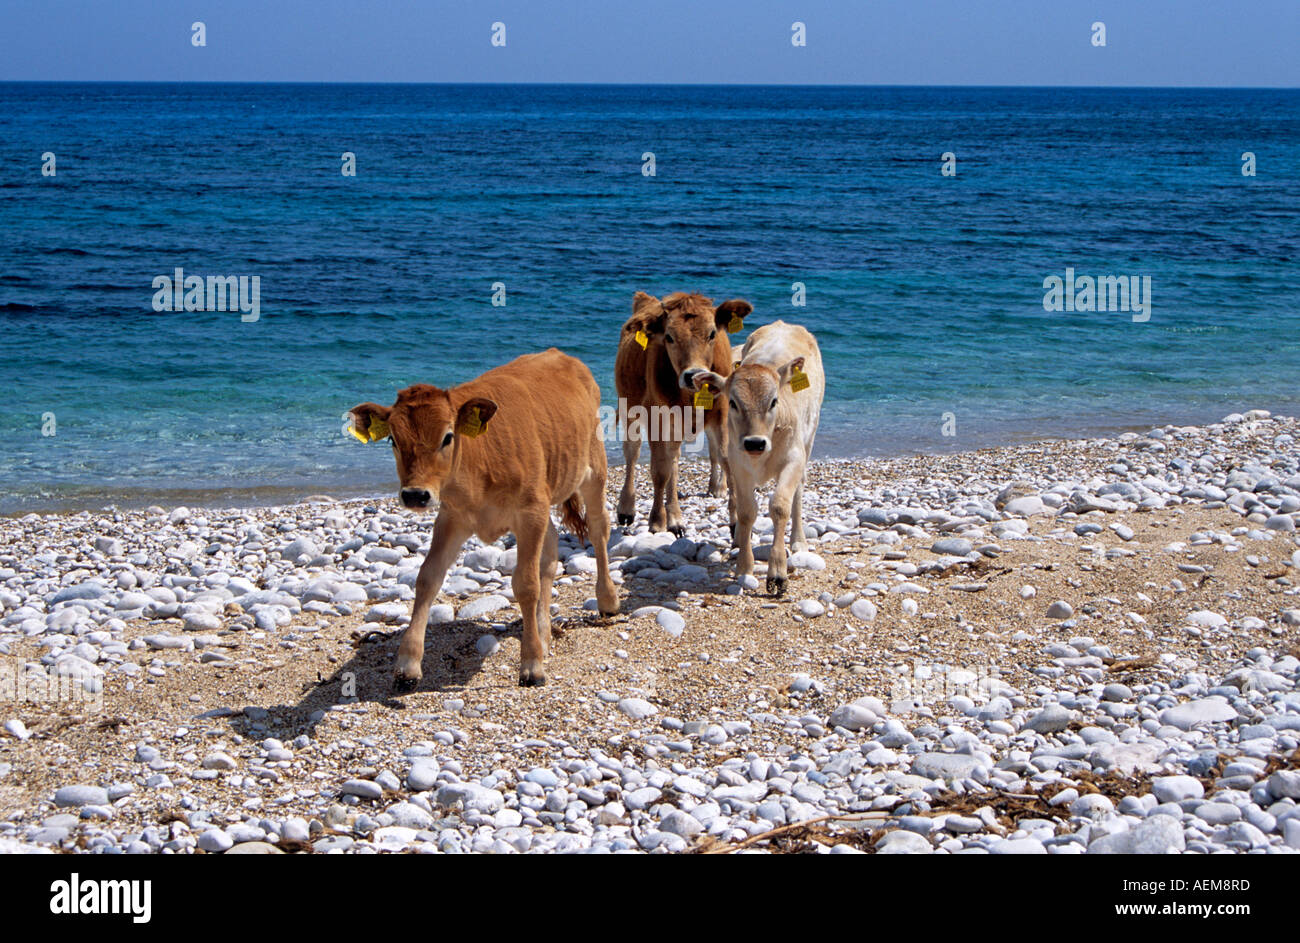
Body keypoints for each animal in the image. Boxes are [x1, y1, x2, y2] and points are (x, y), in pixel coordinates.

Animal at [348, 348, 619, 689]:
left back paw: (607, 599)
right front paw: (407, 664)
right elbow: (427, 578)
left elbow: (525, 584)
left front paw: (532, 665)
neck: (480, 463)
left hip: (594, 470)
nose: (415, 495)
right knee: (551, 551)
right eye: (393, 441)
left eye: (448, 437)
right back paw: (543, 632)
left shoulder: (529, 511)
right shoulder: (453, 517)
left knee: (598, 528)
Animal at [614, 291, 753, 536]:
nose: (693, 375)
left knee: (674, 460)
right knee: (633, 453)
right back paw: (627, 509)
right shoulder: (656, 419)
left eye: (712, 333)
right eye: (669, 337)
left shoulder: (723, 414)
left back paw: (675, 518)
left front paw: (736, 521)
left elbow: (727, 460)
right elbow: (660, 470)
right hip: (630, 409)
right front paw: (657, 520)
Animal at [689, 320, 824, 595]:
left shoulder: (794, 459)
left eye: (773, 401)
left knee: (798, 493)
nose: (754, 442)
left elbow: (780, 506)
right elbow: (746, 511)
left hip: (810, 438)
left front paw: (778, 573)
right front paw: (744, 566)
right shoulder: (738, 464)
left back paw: (798, 541)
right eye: (732, 402)